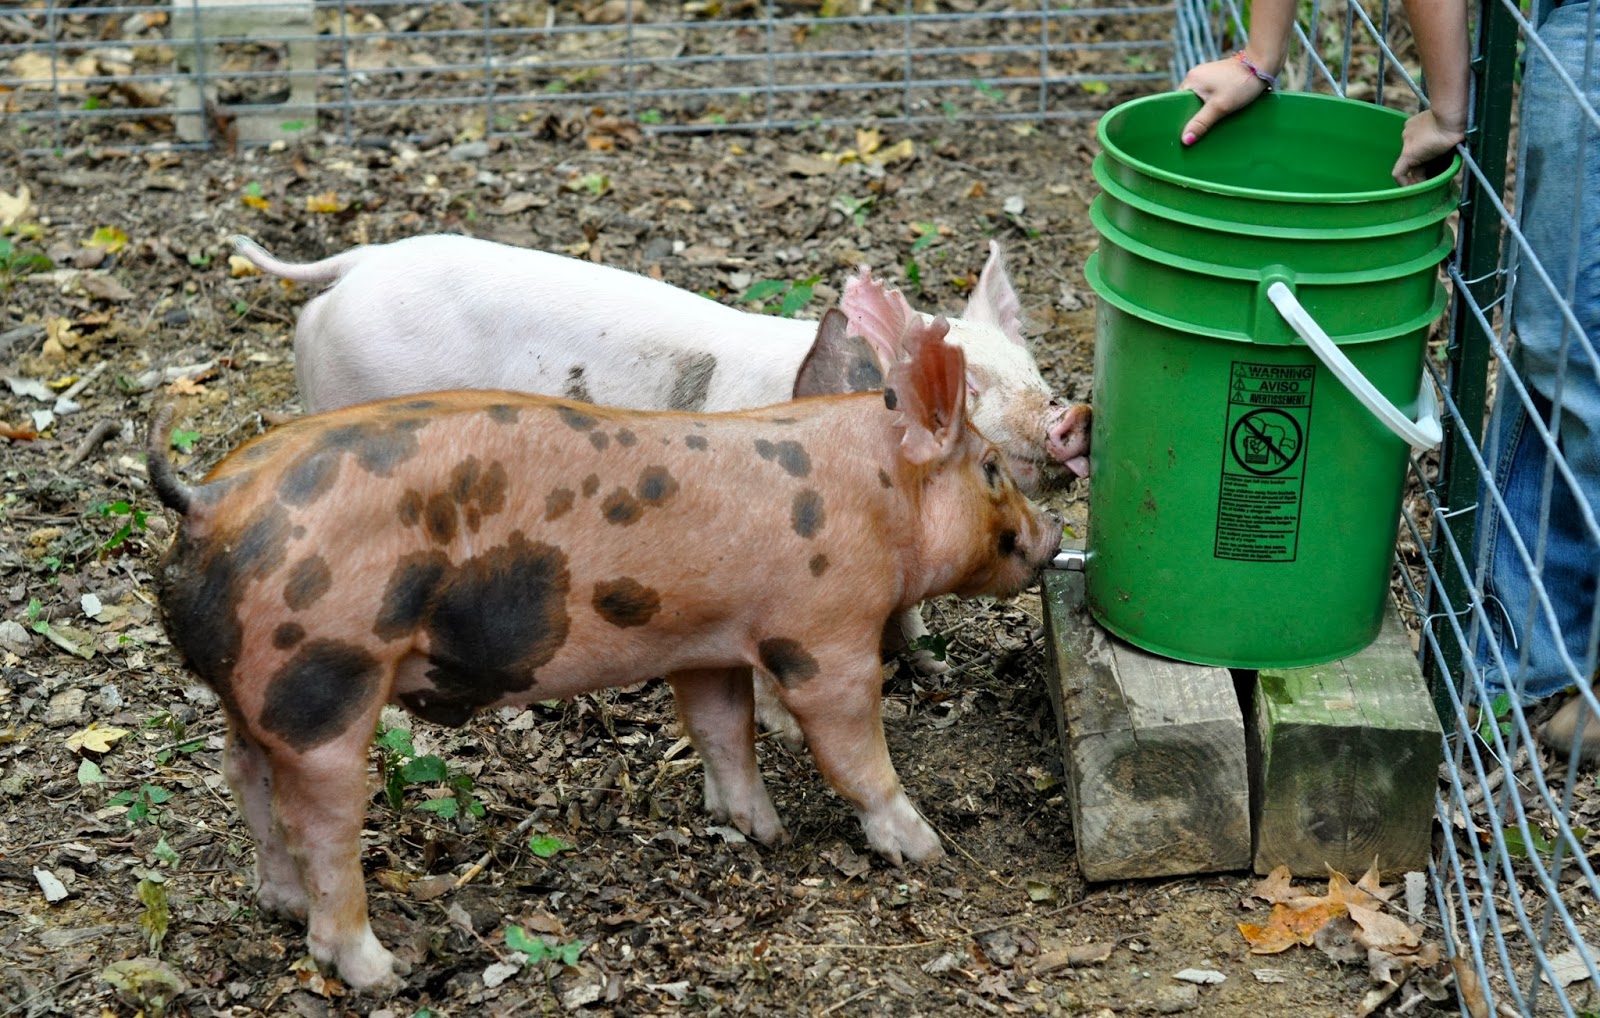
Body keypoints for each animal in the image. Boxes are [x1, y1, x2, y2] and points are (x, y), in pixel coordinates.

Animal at [147, 309, 1062, 994]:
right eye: (989, 467)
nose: (1054, 534)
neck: (867, 496)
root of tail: (210, 498)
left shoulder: (706, 645)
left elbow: (722, 731)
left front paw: (759, 832)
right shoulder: (822, 631)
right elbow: (850, 746)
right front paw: (924, 847)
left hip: (253, 690)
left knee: (244, 777)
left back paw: (278, 904)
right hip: (323, 682)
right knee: (321, 822)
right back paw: (382, 968)